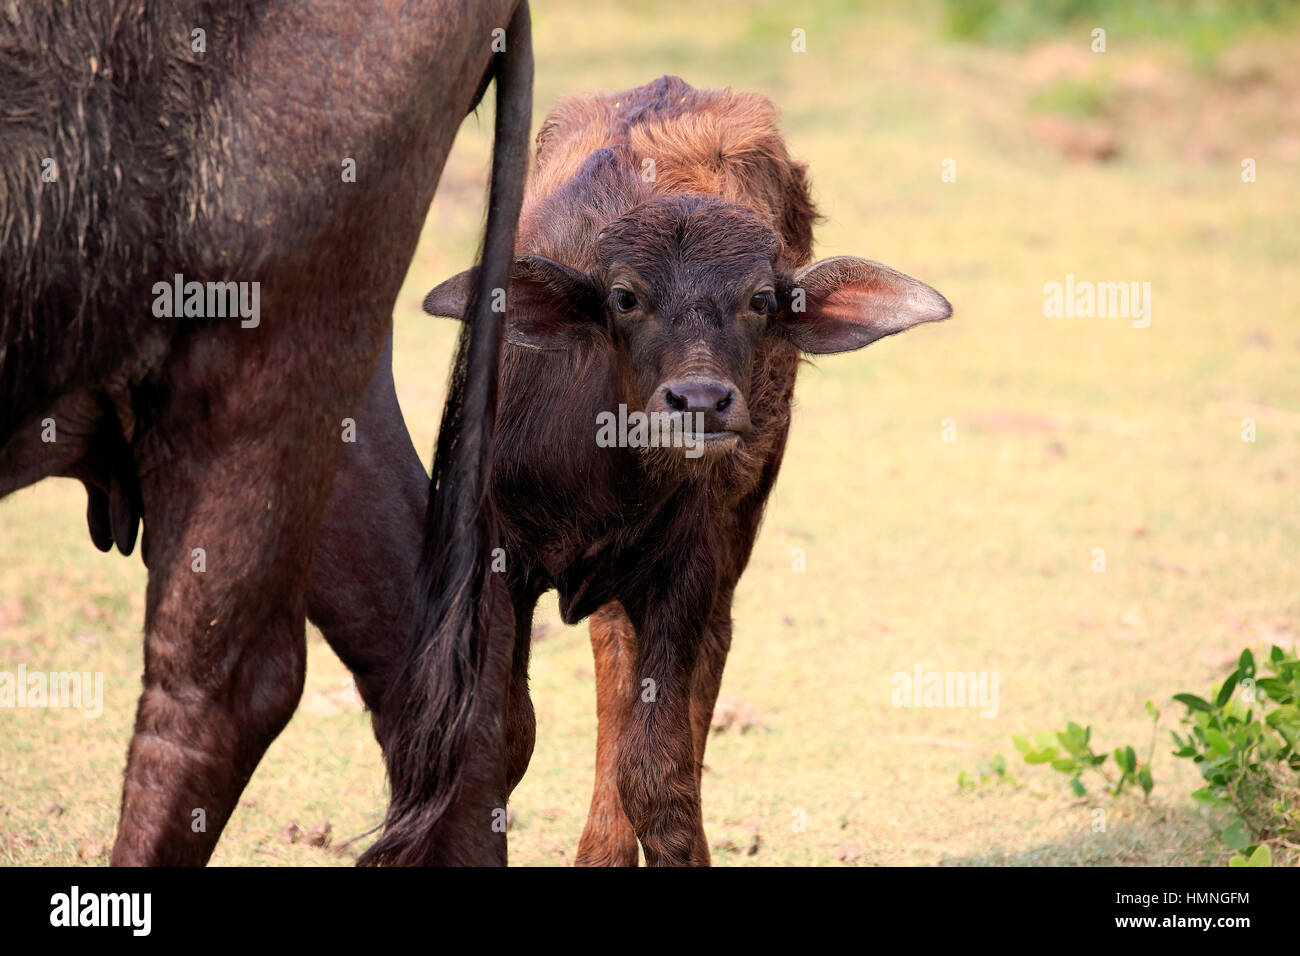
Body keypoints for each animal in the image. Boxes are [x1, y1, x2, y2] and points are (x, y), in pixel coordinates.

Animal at [364, 75, 952, 866]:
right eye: (625, 297)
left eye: (760, 300)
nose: (699, 401)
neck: (600, 480)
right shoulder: (501, 561)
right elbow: (506, 740)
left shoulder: (686, 568)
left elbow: (659, 772)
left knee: (699, 669)